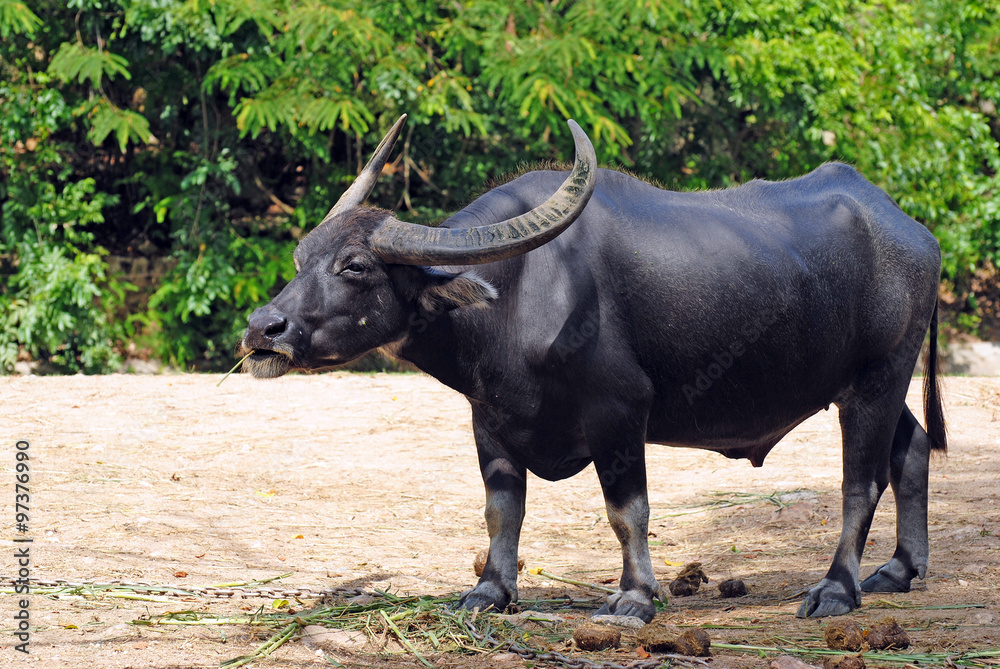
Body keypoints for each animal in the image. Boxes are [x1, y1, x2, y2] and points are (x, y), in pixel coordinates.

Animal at [242, 115, 946, 621]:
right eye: (303, 257)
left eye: (356, 266)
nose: (261, 329)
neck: (518, 292)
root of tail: (913, 232)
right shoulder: (488, 420)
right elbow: (502, 511)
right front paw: (489, 591)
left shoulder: (620, 412)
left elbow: (626, 509)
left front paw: (634, 598)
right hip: (877, 382)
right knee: (910, 449)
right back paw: (900, 569)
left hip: (877, 379)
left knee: (862, 481)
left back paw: (837, 589)